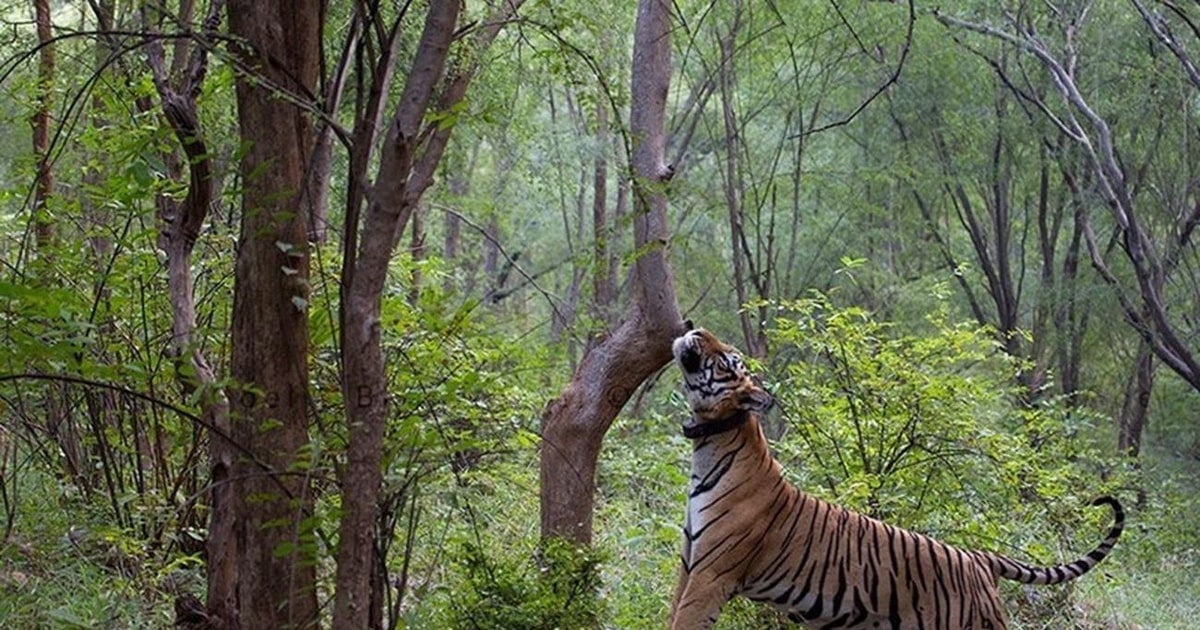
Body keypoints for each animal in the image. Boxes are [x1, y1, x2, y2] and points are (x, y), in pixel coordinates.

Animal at [668, 326, 1123, 630]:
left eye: (728, 359)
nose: (696, 327)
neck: (711, 440)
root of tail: (978, 557)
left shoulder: (712, 574)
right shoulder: (690, 566)